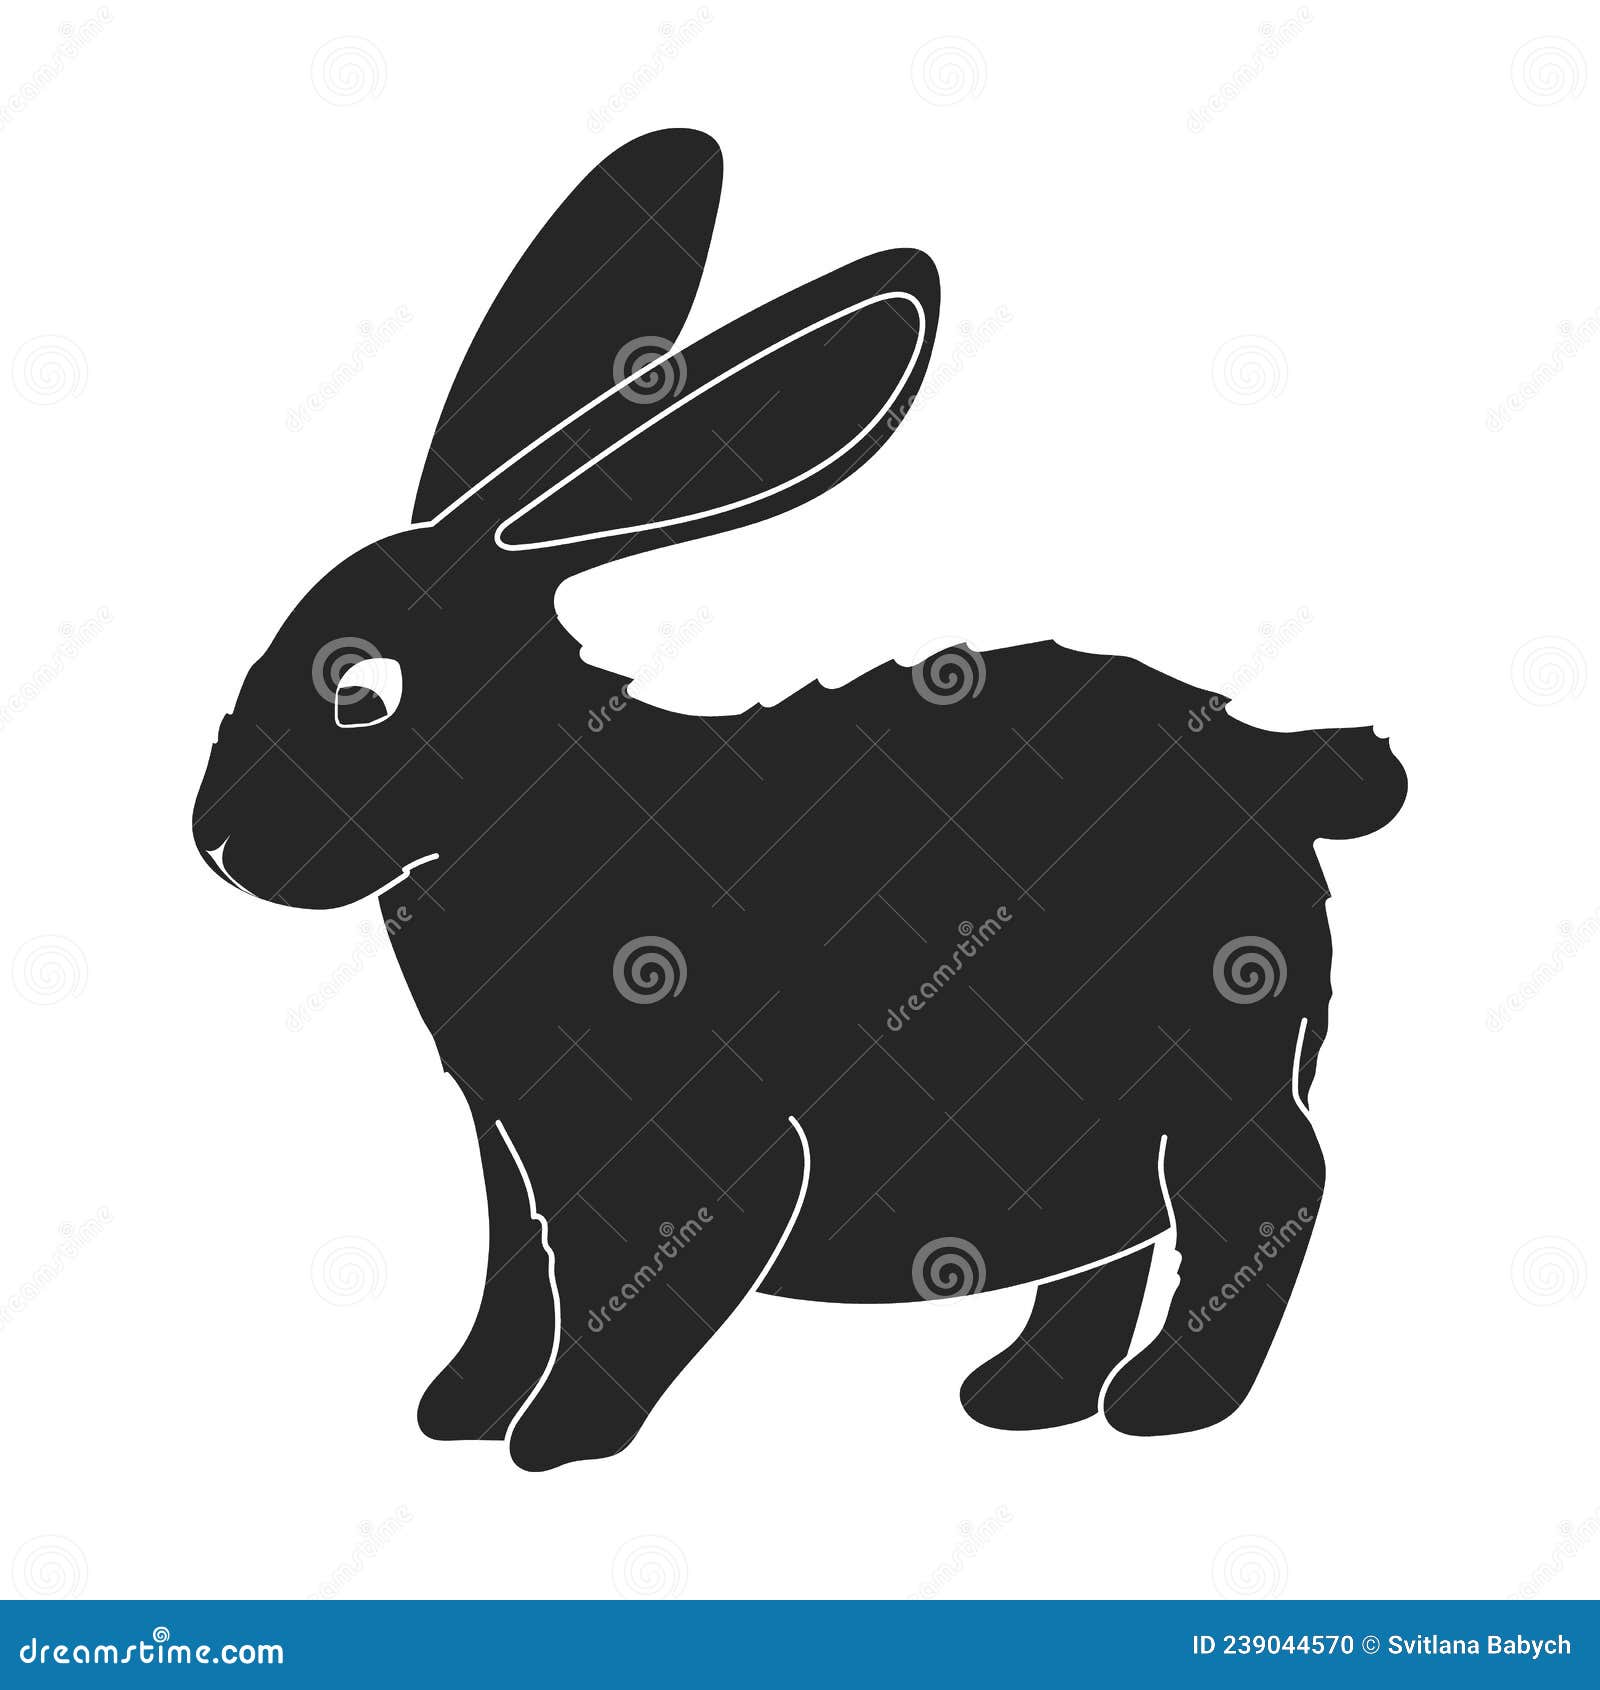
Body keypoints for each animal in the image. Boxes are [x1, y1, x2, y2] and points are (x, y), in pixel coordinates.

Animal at [193, 129, 1406, 1472]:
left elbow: (643, 1283)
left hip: (1211, 1064)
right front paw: (458, 1411)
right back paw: (1023, 1394)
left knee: (1274, 1189)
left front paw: (559, 1438)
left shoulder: (696, 1140)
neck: (532, 808)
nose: (218, 843)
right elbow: (520, 1278)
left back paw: (1167, 1403)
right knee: (1121, 1233)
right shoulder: (510, 1155)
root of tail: (1282, 761)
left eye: (362, 693)